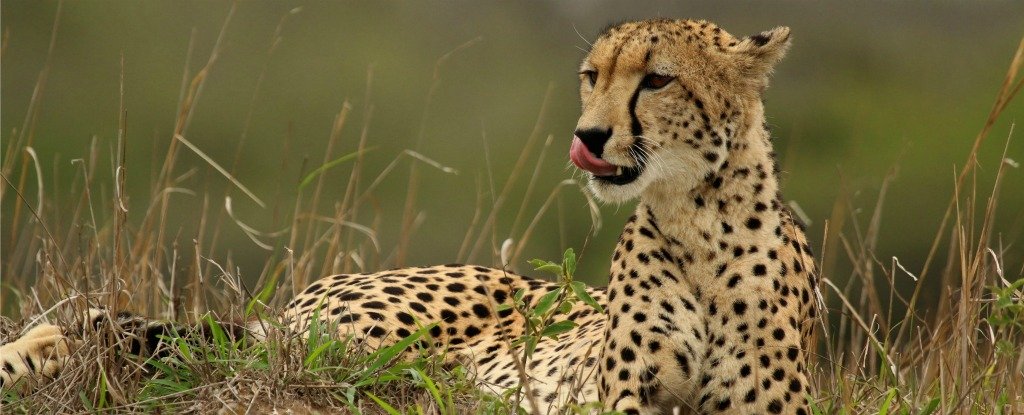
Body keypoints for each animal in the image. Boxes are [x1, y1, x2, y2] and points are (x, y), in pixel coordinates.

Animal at [1, 18, 819, 415]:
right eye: (594, 76)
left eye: (657, 80)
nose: (588, 136)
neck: (697, 221)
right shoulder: (623, 397)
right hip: (362, 344)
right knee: (215, 345)